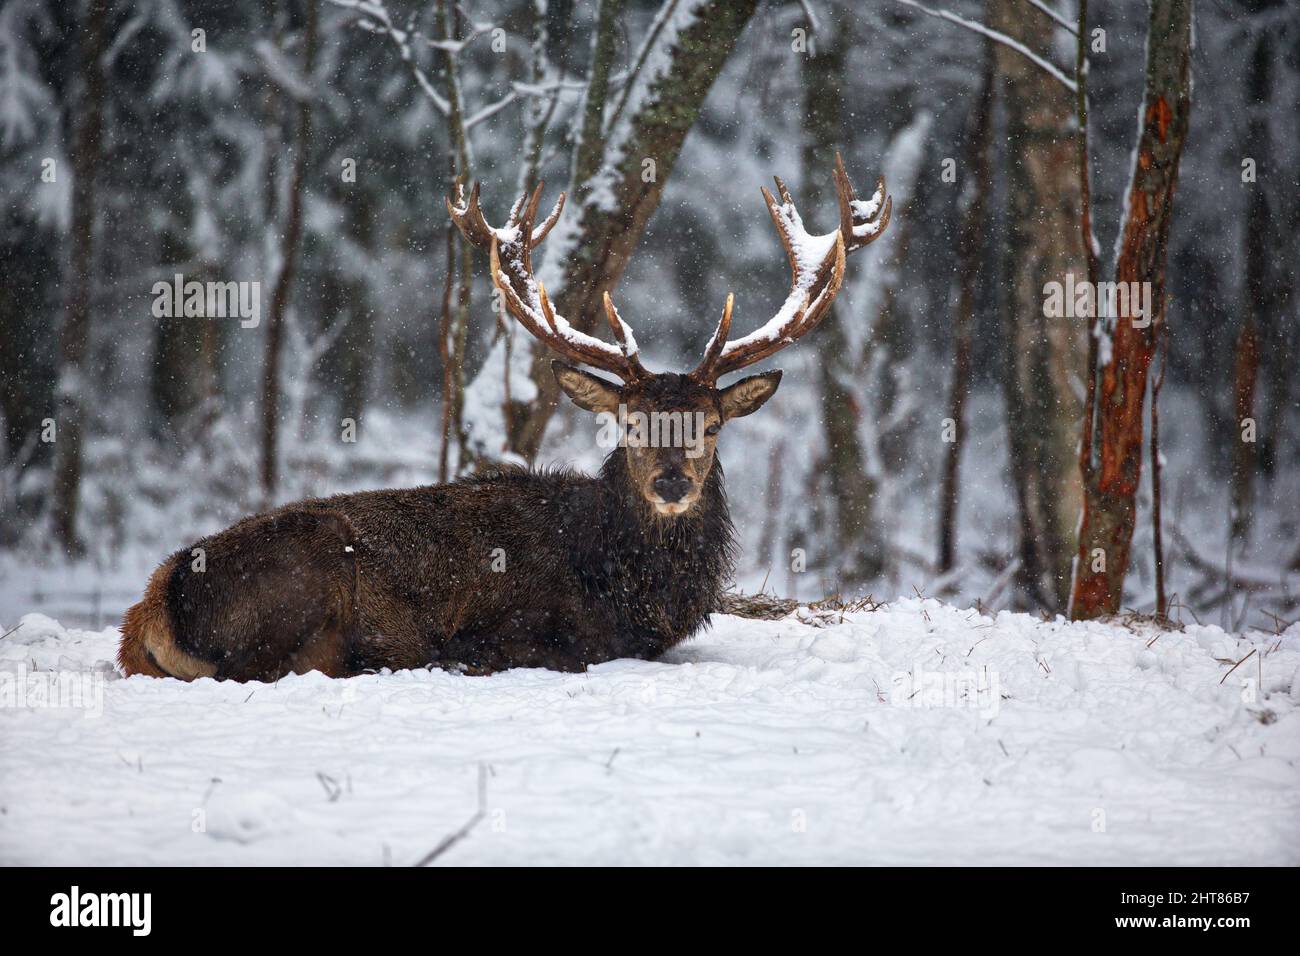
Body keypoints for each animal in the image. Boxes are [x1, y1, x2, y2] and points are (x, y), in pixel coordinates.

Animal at [117, 155, 891, 682]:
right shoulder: (509, 627)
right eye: (631, 422)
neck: (621, 585)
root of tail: (152, 605)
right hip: (309, 581)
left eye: (709, 422)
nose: (671, 482)